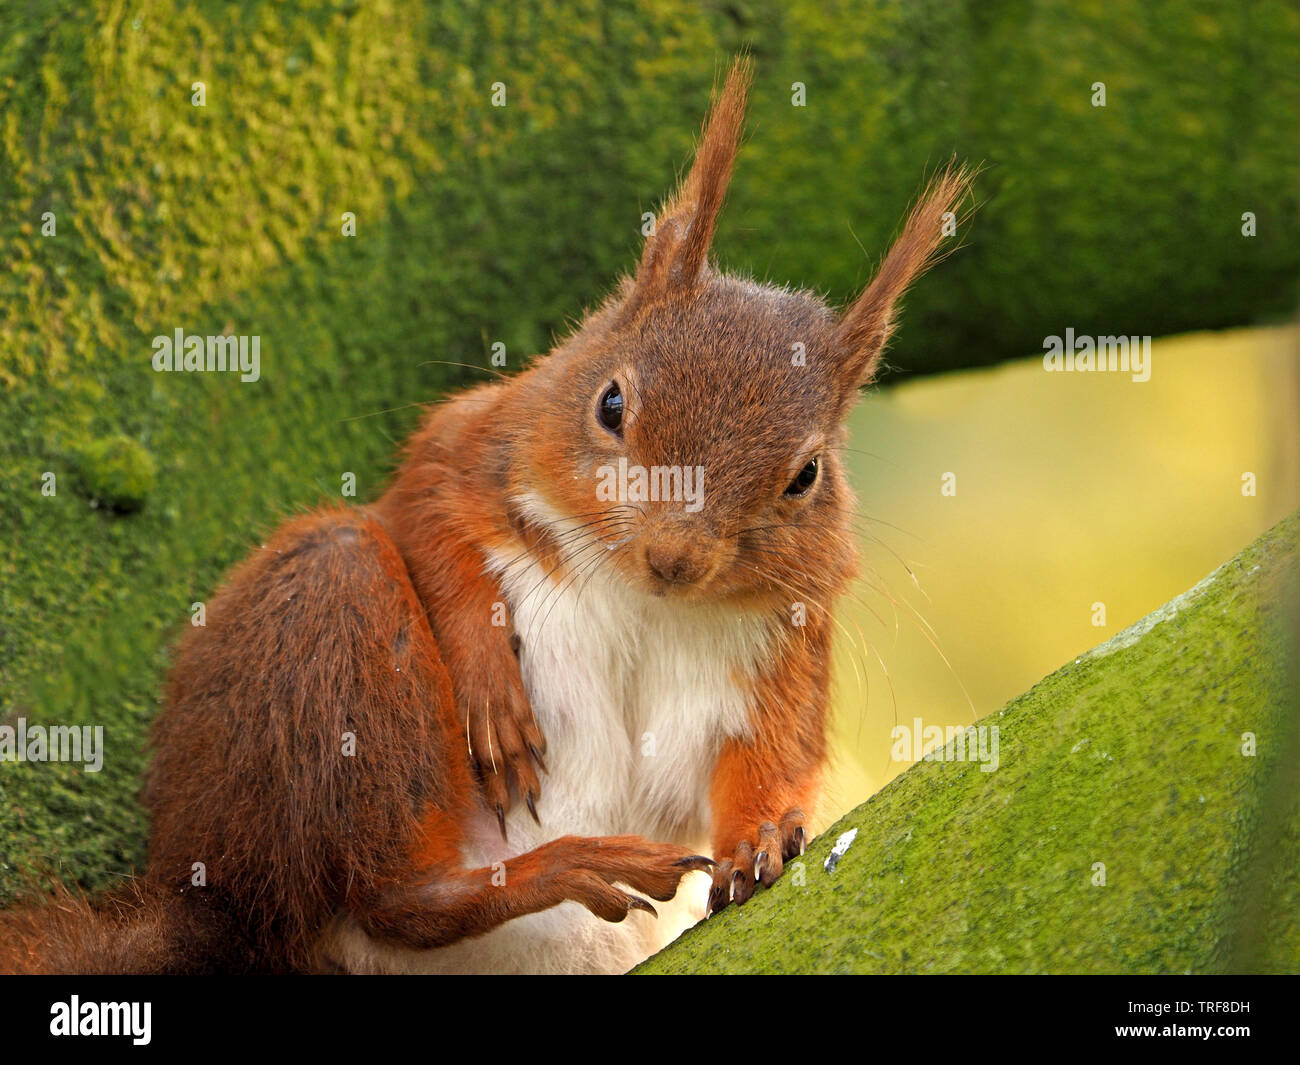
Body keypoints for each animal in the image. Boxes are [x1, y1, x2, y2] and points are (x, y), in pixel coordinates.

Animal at [0, 56, 971, 975]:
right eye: (610, 403)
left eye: (806, 475)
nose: (674, 558)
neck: (646, 603)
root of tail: (204, 902)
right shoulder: (472, 442)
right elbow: (428, 518)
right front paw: (488, 679)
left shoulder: (787, 644)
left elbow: (773, 756)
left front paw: (764, 834)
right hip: (323, 650)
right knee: (395, 891)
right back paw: (549, 867)